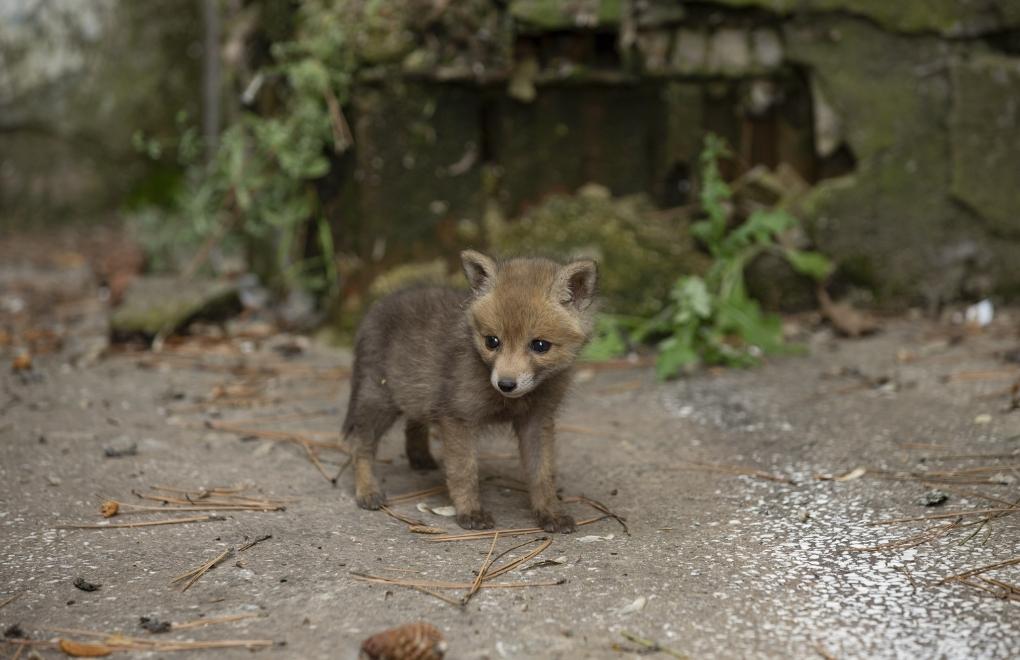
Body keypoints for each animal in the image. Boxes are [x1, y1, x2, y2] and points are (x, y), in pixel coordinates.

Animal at [342, 250, 598, 532]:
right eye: (492, 341)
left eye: (540, 345)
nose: (506, 384)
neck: (512, 401)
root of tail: (376, 307)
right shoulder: (458, 417)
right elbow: (463, 471)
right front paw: (470, 511)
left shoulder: (537, 420)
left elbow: (542, 473)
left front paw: (550, 512)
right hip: (378, 400)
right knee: (360, 445)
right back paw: (367, 490)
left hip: (414, 392)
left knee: (413, 423)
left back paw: (420, 458)